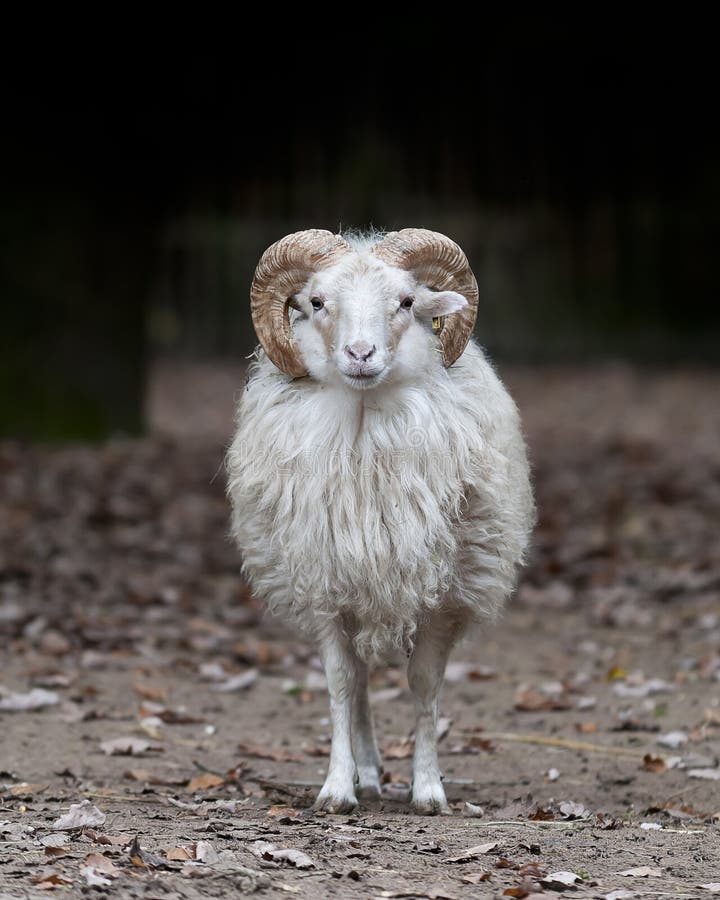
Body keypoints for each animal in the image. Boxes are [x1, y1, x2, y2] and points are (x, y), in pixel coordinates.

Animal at [226, 228, 535, 814]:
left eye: (408, 302)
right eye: (317, 302)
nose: (360, 354)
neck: (365, 430)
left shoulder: (446, 590)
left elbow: (424, 683)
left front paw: (429, 789)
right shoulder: (323, 581)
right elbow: (341, 683)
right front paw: (336, 787)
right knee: (361, 681)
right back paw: (366, 773)